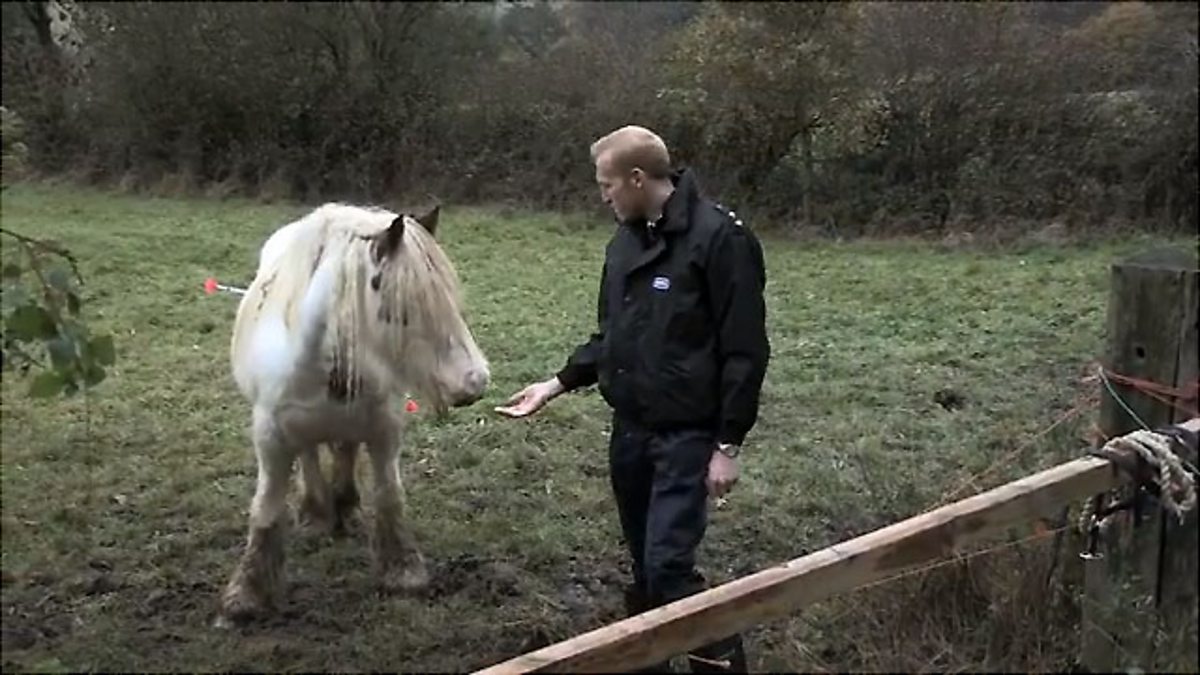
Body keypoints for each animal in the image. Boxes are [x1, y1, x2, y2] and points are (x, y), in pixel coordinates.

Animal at [217, 201, 489, 625]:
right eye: (401, 308)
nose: (474, 382)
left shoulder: (384, 428)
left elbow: (389, 494)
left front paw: (403, 572)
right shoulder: (271, 438)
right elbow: (266, 507)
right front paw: (246, 595)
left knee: (343, 449)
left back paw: (344, 506)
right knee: (311, 456)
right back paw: (317, 513)